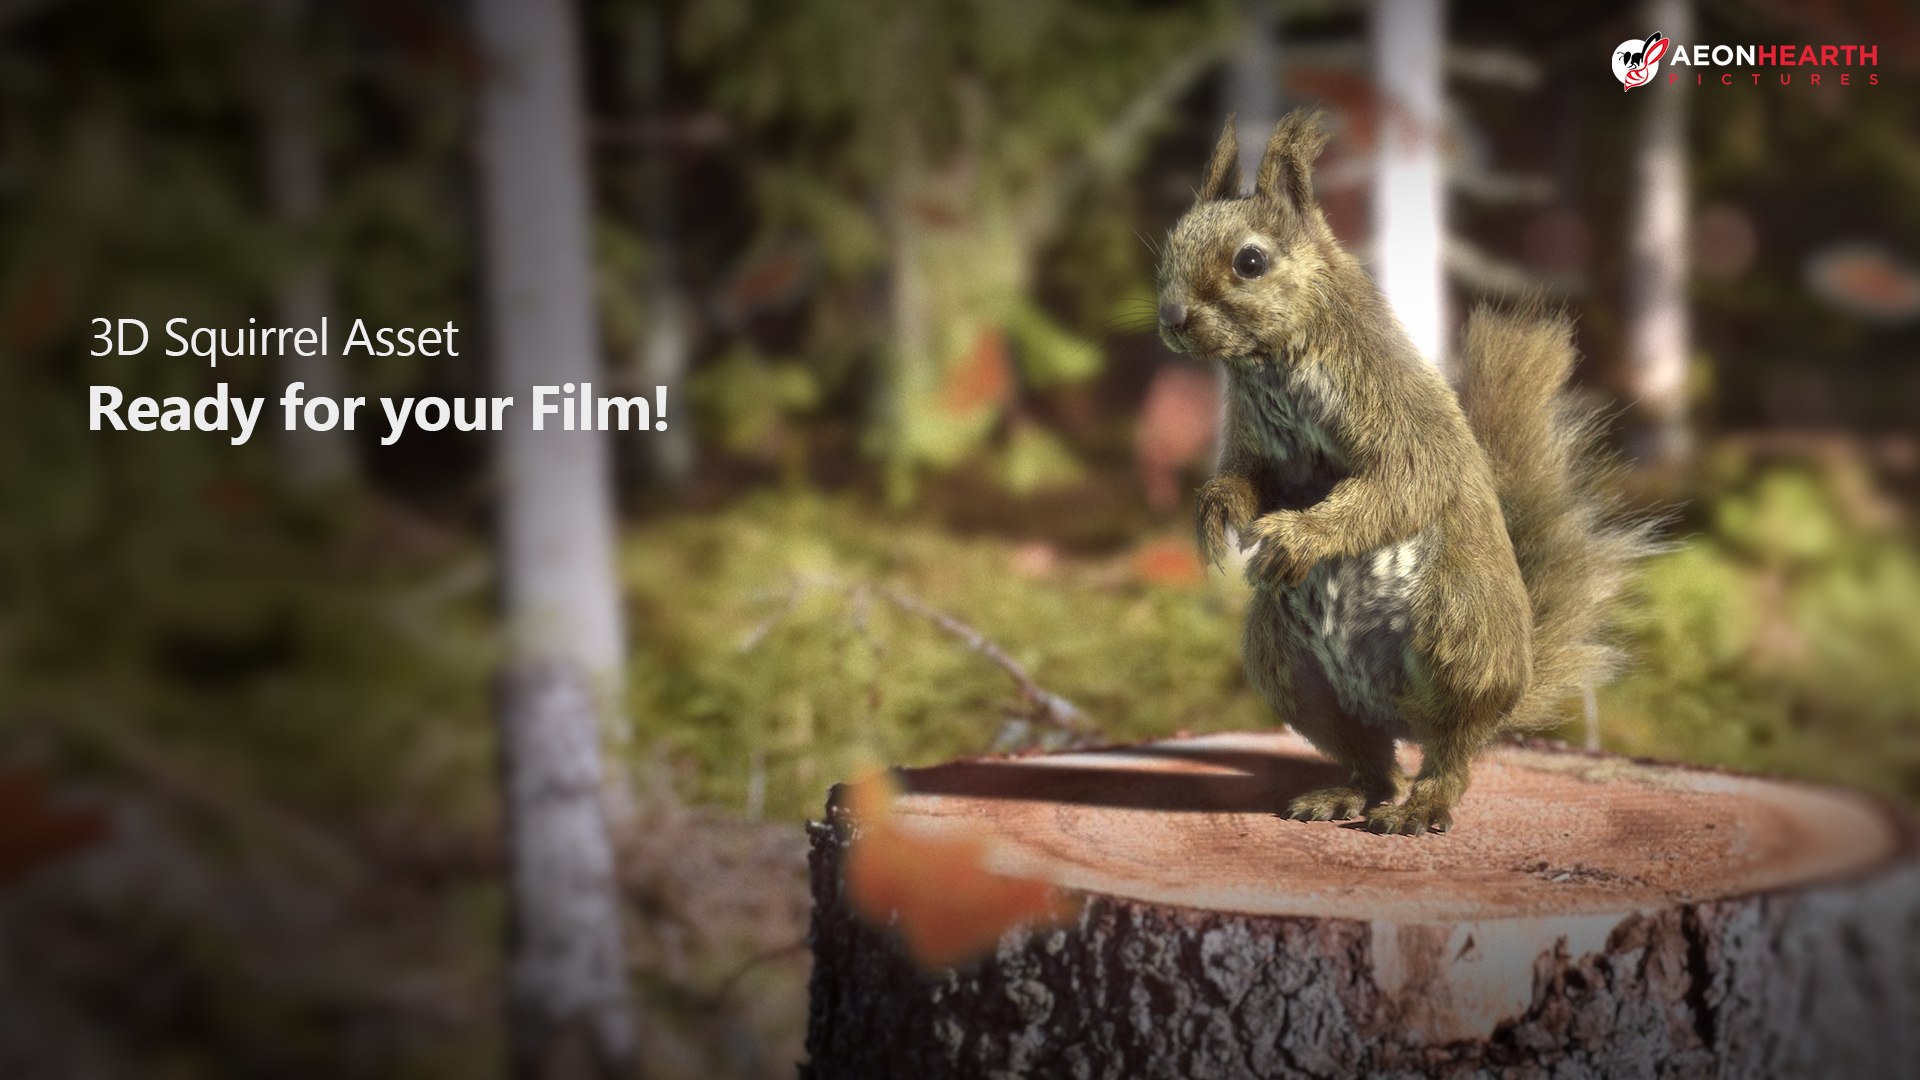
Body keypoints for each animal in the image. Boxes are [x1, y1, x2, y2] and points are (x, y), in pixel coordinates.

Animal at [1156, 111, 1652, 835]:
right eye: (1168, 246)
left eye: (1251, 261)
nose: (1170, 317)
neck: (1266, 366)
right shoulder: (1259, 448)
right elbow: (1249, 481)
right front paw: (1218, 509)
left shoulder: (1398, 419)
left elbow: (1399, 486)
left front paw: (1297, 537)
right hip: (1288, 670)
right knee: (1373, 759)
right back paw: (1344, 796)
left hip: (1458, 629)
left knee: (1452, 754)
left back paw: (1421, 808)